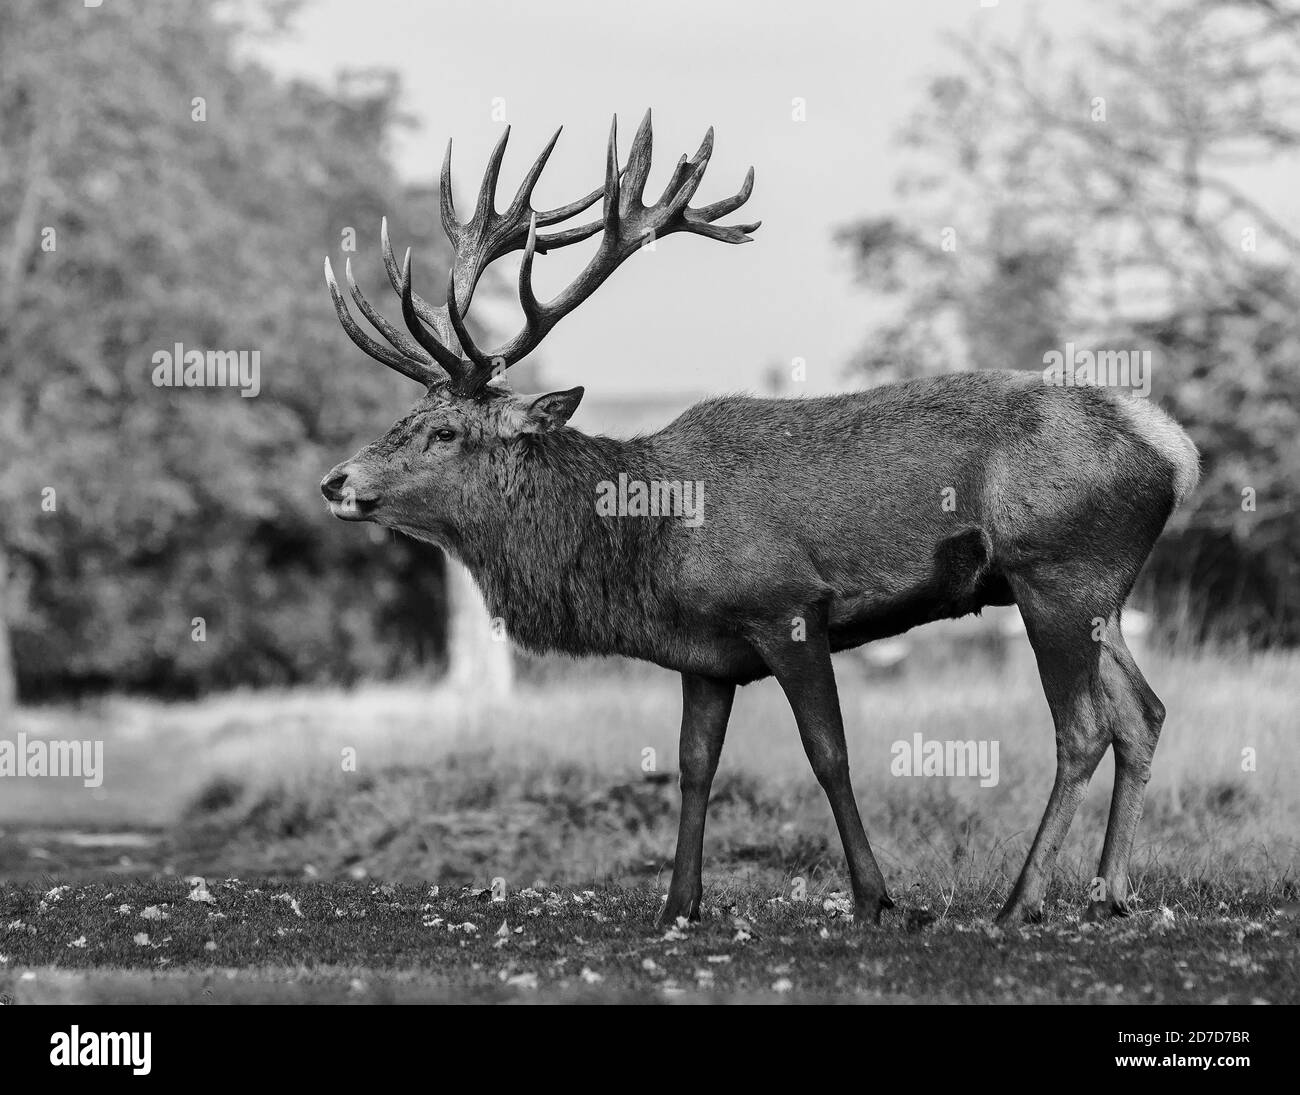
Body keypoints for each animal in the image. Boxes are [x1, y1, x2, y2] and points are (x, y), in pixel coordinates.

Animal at [320, 112, 1199, 928]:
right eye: (407, 415)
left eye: (445, 431)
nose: (336, 480)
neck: (648, 539)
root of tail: (1177, 449)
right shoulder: (707, 657)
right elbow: (693, 766)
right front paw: (678, 903)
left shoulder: (789, 606)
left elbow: (829, 753)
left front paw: (878, 897)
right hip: (1097, 594)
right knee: (1144, 714)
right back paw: (1109, 893)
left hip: (1056, 572)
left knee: (1084, 727)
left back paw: (1022, 900)